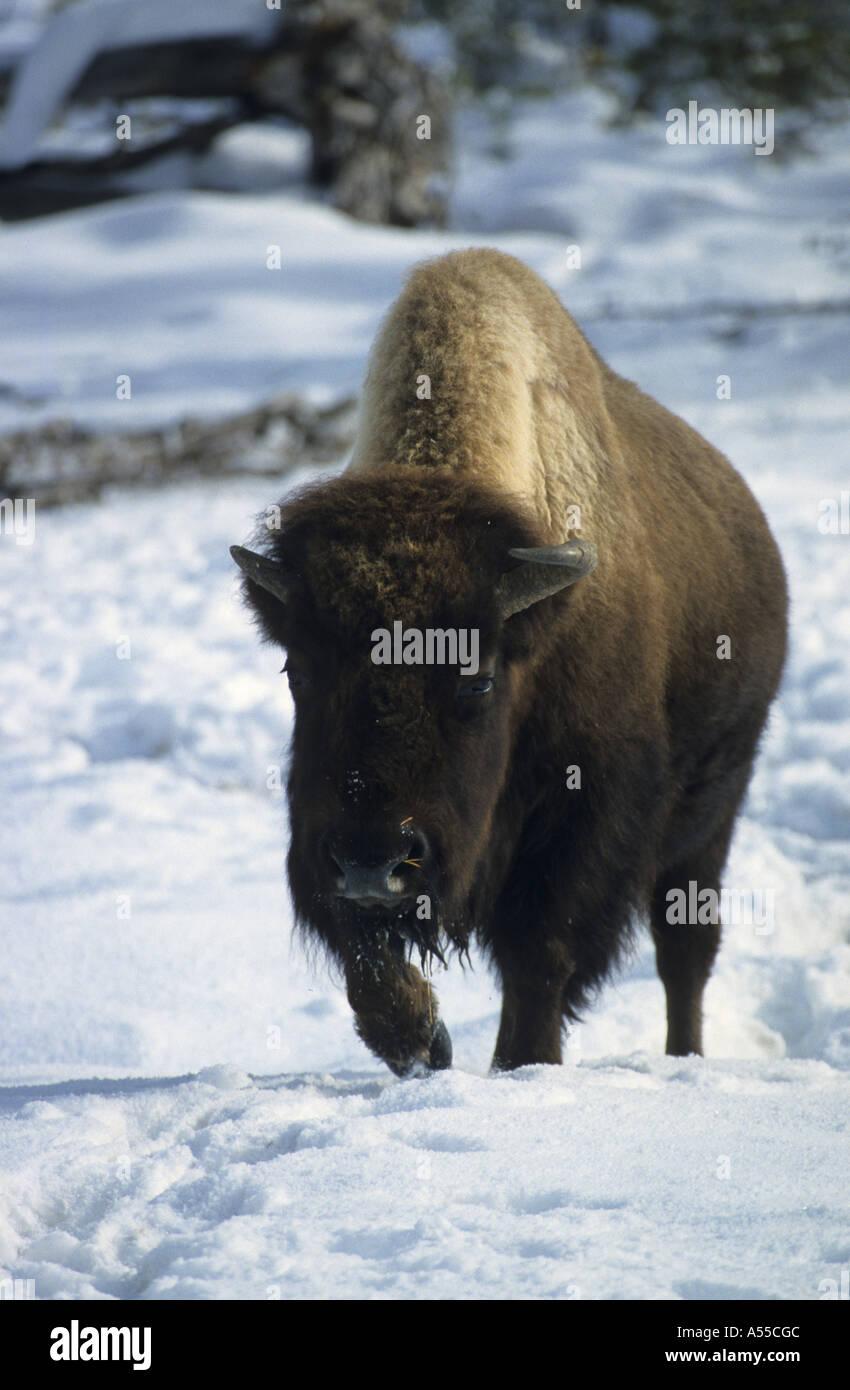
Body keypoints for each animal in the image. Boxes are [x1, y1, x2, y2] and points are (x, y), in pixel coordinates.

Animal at [232, 249, 788, 1077]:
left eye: (479, 678)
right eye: (298, 672)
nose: (373, 862)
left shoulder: (586, 819)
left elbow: (541, 956)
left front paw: (523, 1066)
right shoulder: (326, 844)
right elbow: (368, 961)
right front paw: (426, 1042)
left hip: (712, 813)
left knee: (684, 952)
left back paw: (684, 1060)